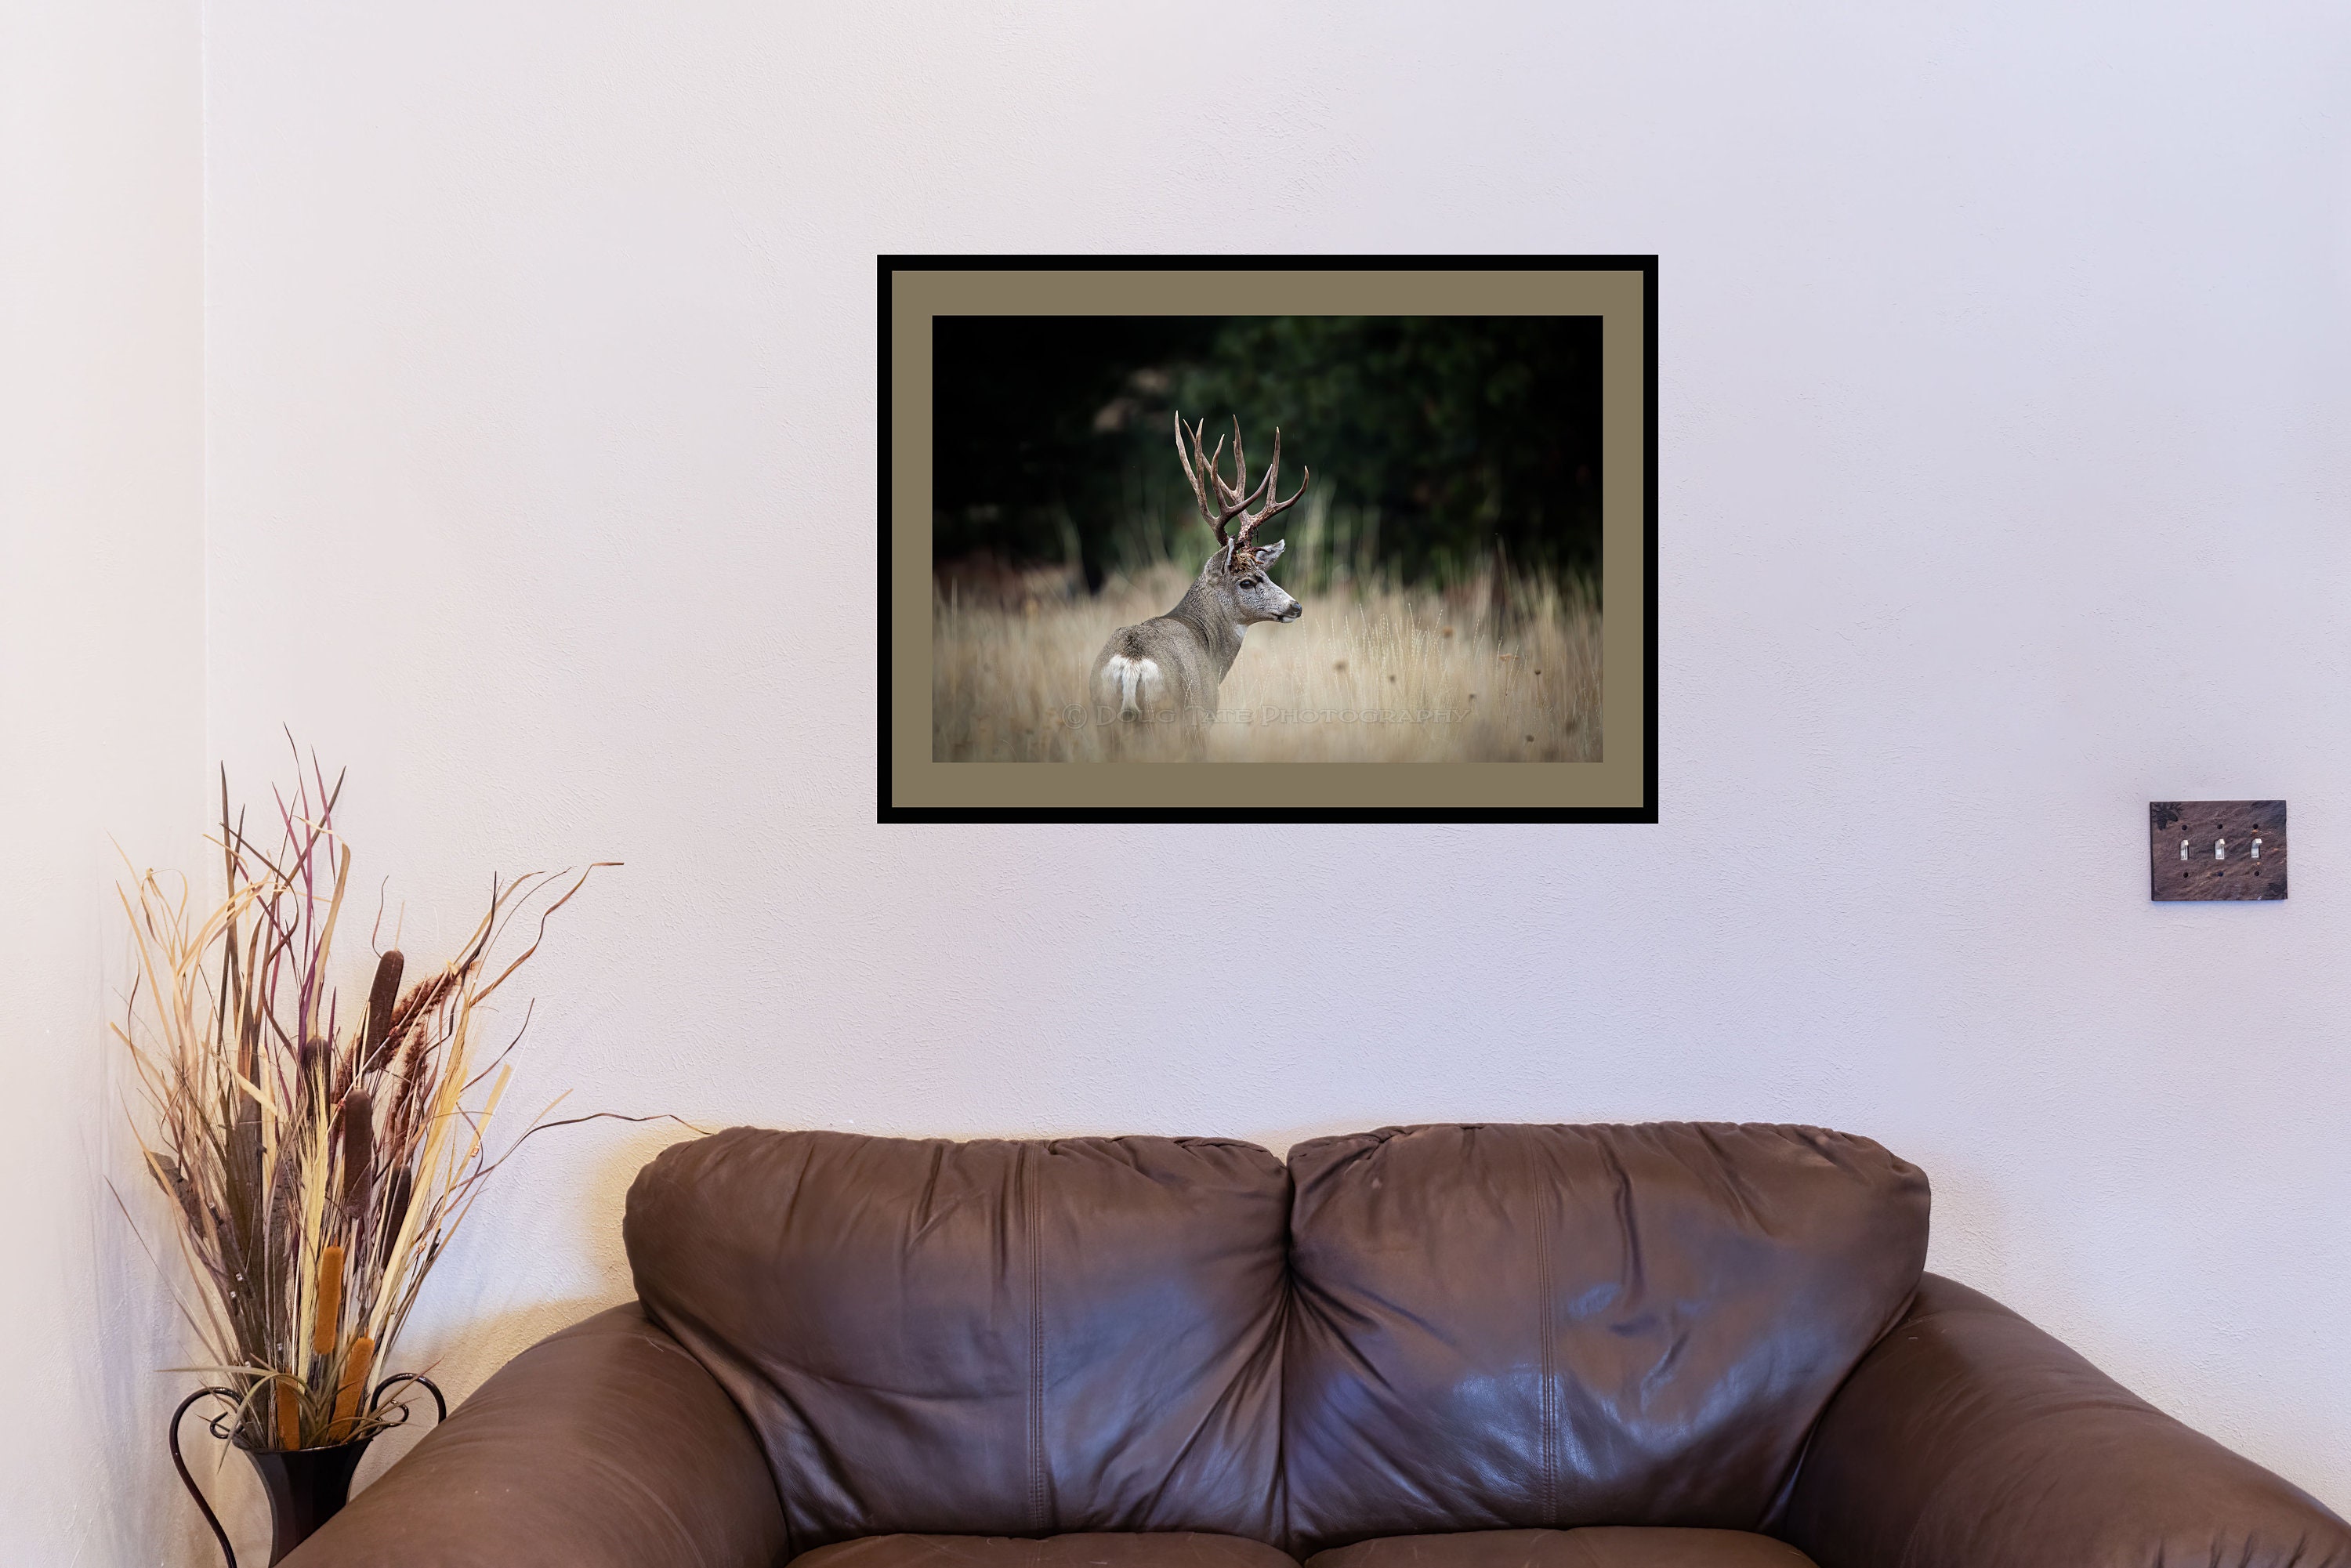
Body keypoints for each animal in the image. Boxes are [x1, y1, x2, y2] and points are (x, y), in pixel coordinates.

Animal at [1088, 413, 1310, 732]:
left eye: (1266, 573)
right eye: (1246, 582)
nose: (1295, 606)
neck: (1211, 651)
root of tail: (1132, 664)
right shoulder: (1204, 711)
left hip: (1103, 716)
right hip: (1174, 716)